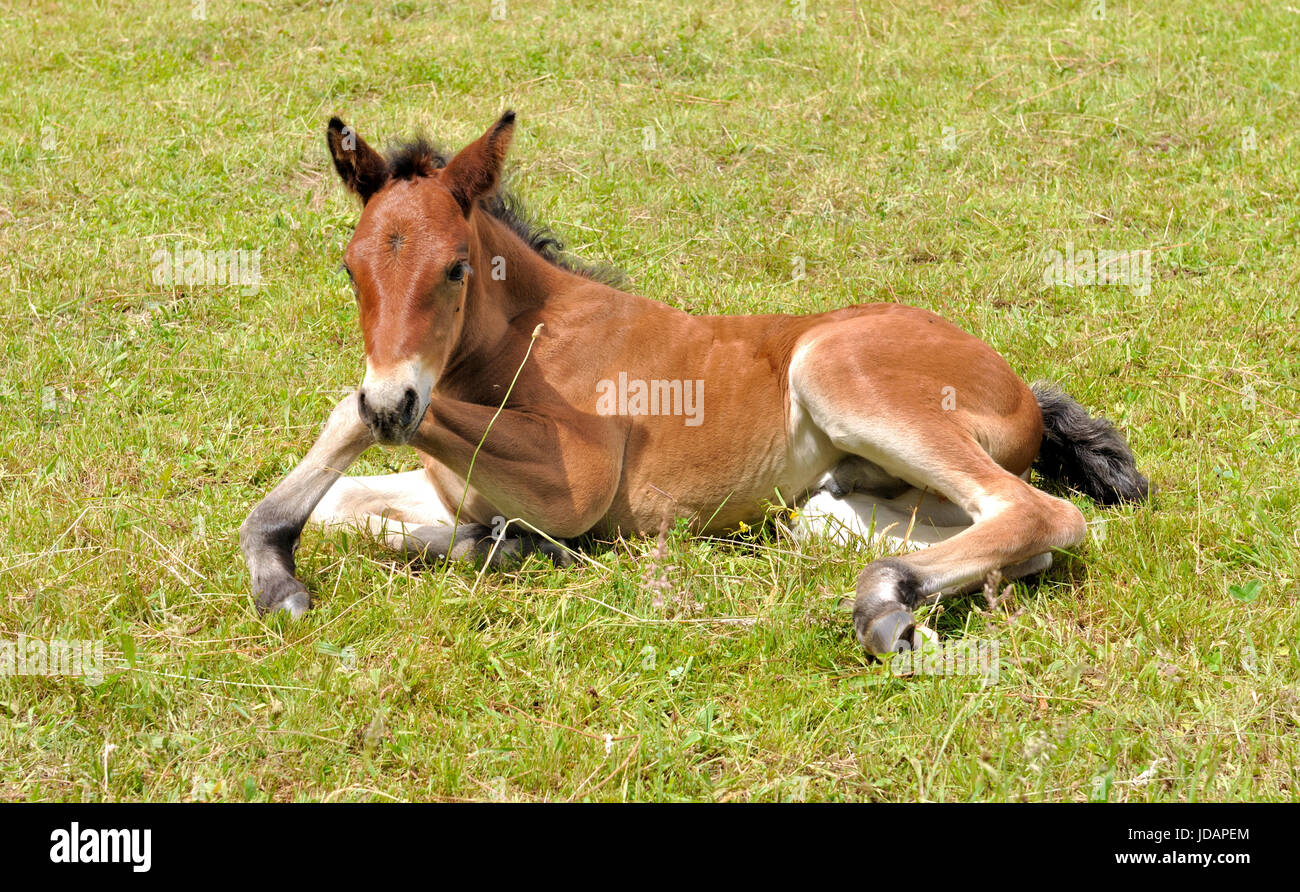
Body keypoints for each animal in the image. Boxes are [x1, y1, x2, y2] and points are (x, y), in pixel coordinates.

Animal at [239, 111, 1150, 655]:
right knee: (988, 534)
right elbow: (352, 501)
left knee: (1042, 512)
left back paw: (880, 606)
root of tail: (1025, 390)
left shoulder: (579, 483)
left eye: (456, 268)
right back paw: (896, 585)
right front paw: (479, 542)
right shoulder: (446, 481)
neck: (527, 339)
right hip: (835, 504)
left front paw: (278, 571)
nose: (396, 398)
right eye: (351, 267)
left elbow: (344, 418)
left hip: (835, 372)